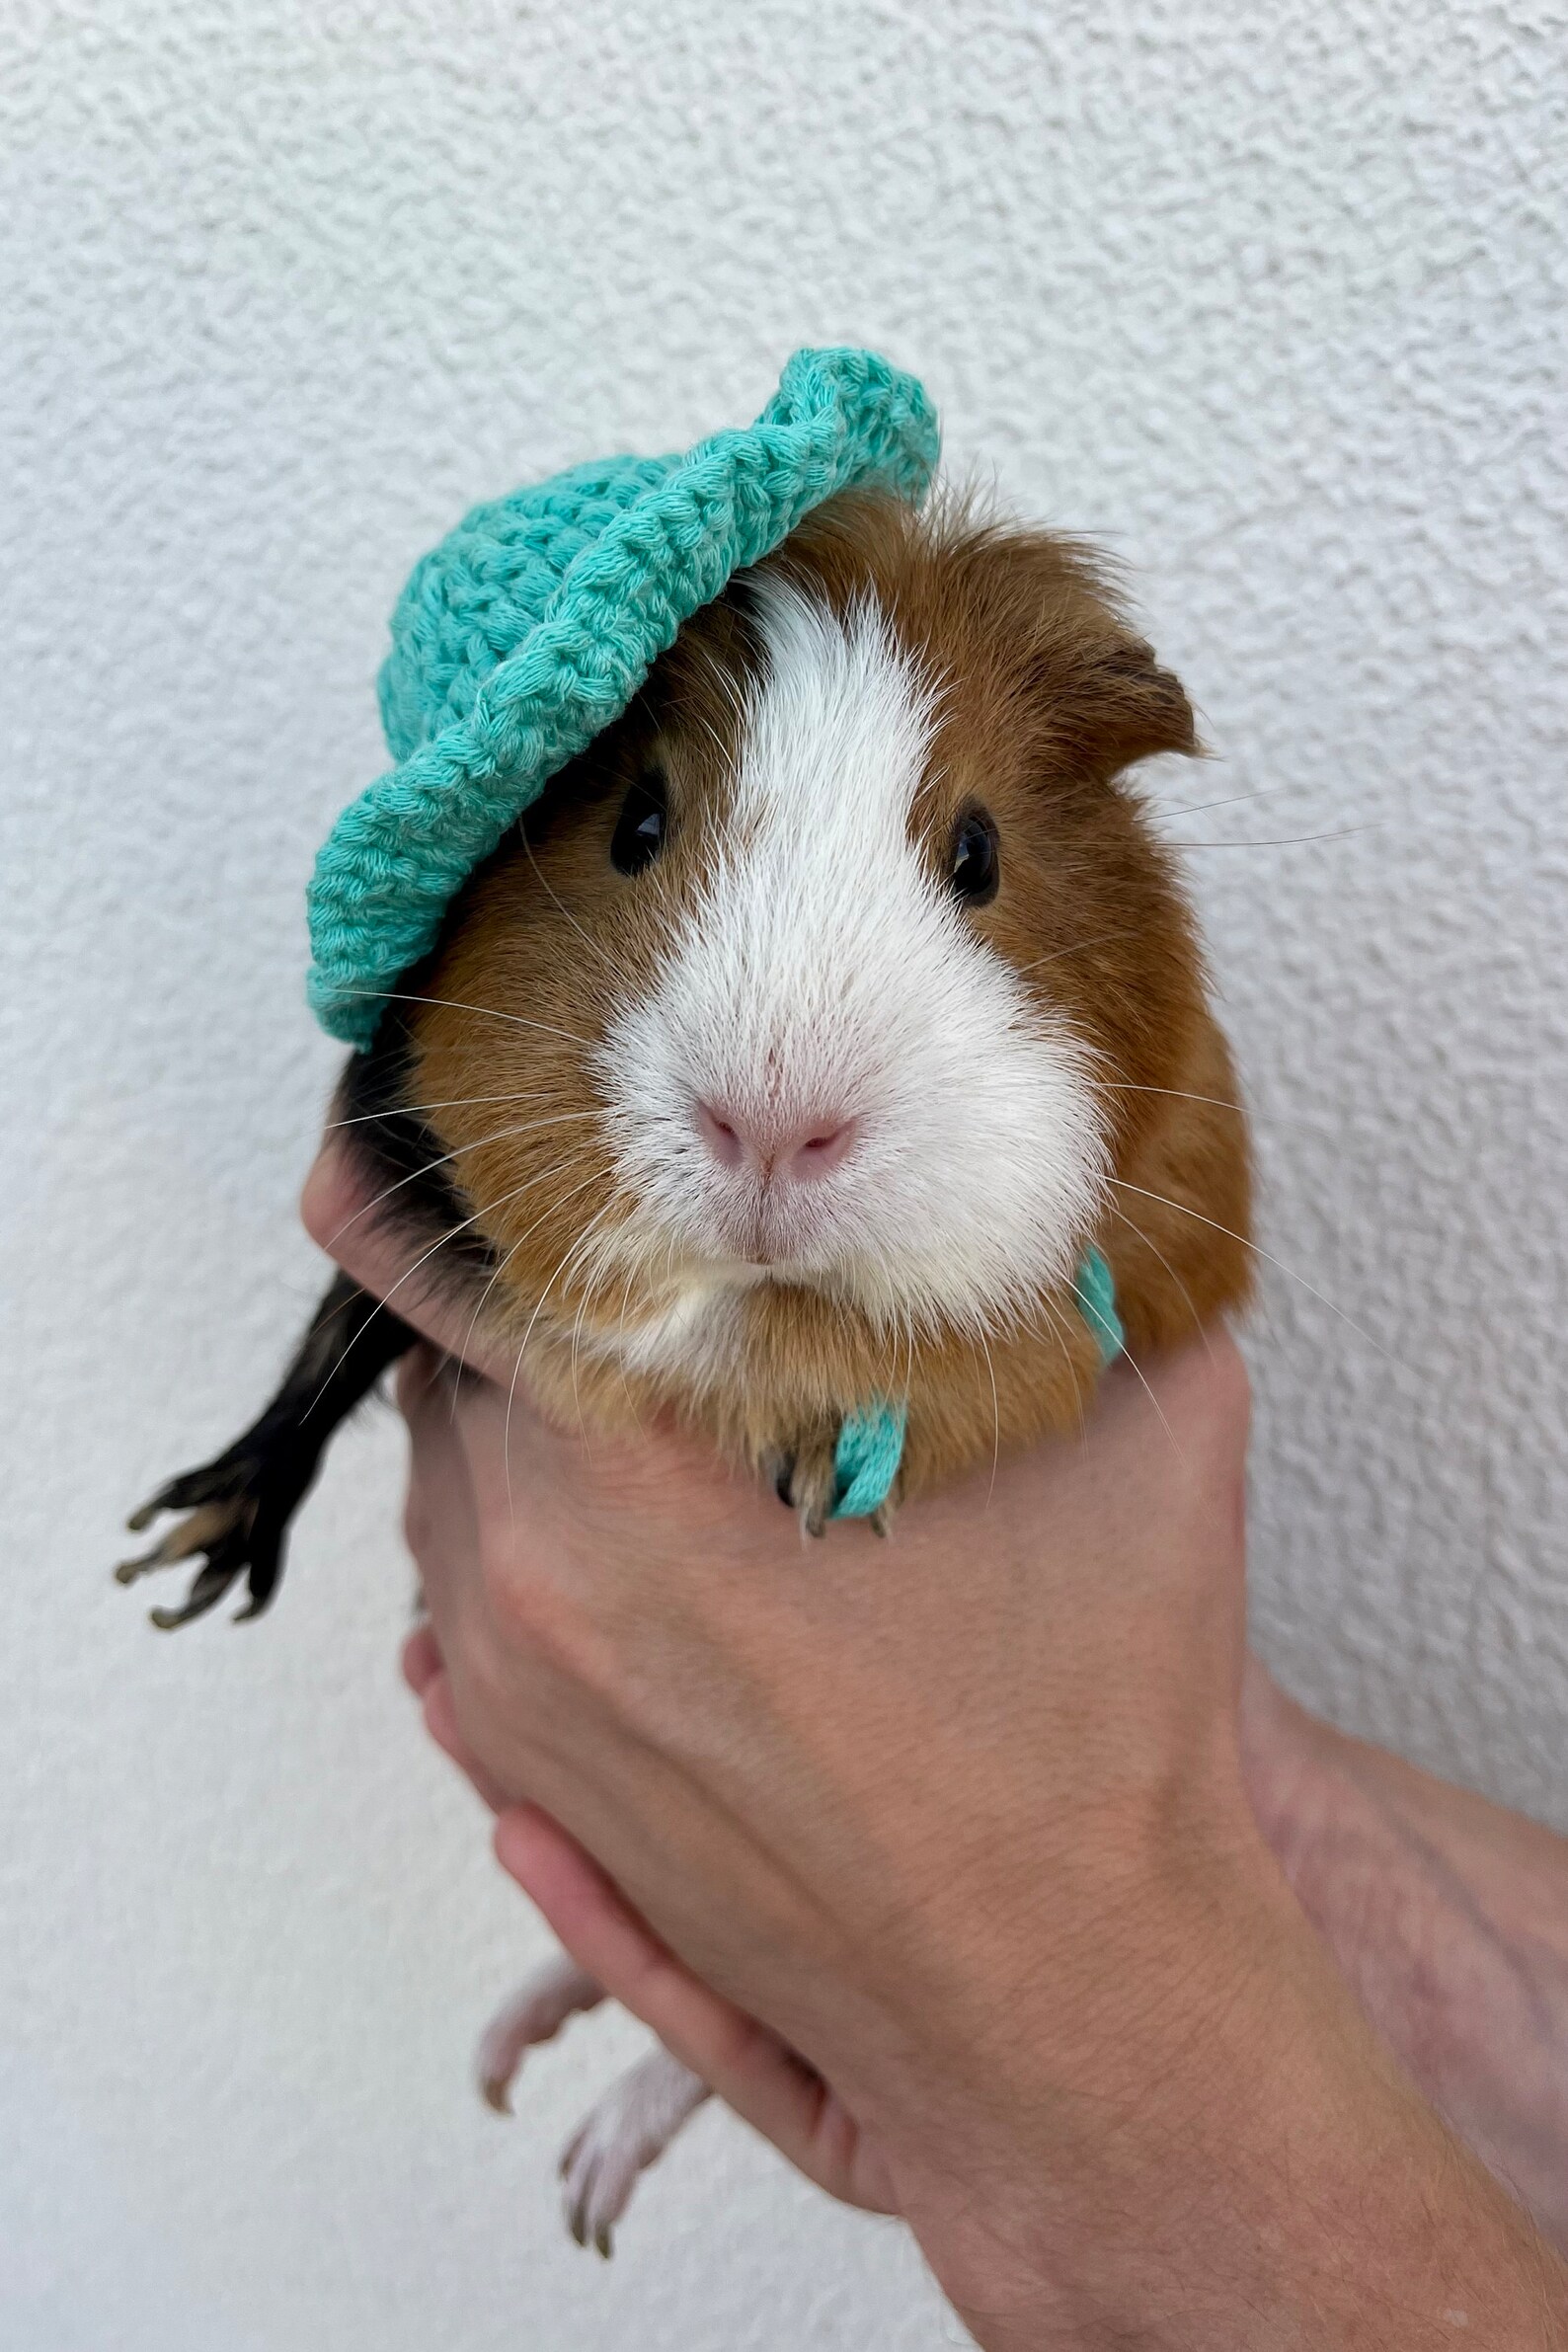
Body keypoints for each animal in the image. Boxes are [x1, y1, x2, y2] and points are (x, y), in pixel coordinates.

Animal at [120, 485, 1253, 2248]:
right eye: (632, 826)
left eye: (979, 851)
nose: (775, 1125)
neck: (755, 1321)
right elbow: (324, 1346)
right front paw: (182, 1557)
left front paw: (827, 1475)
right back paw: (522, 2080)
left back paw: (583, 2155)